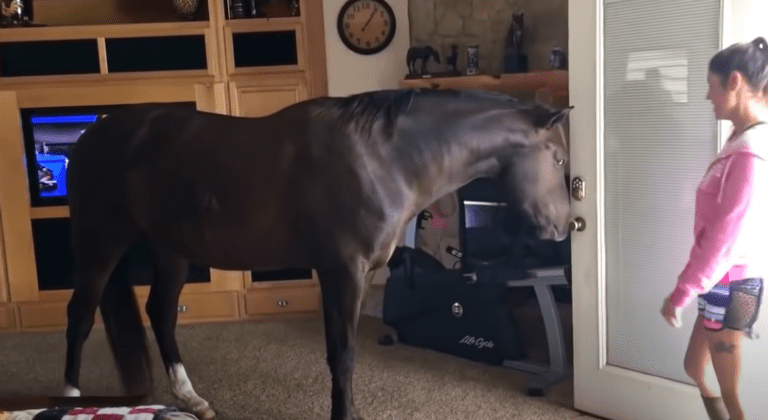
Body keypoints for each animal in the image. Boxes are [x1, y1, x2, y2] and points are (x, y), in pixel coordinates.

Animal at [61, 88, 573, 420]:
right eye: (559, 159)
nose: (564, 225)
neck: (385, 158)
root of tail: (90, 136)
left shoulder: (349, 274)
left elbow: (341, 353)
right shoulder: (342, 271)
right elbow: (342, 355)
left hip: (173, 251)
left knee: (161, 314)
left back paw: (191, 399)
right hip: (99, 243)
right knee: (80, 314)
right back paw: (69, 396)